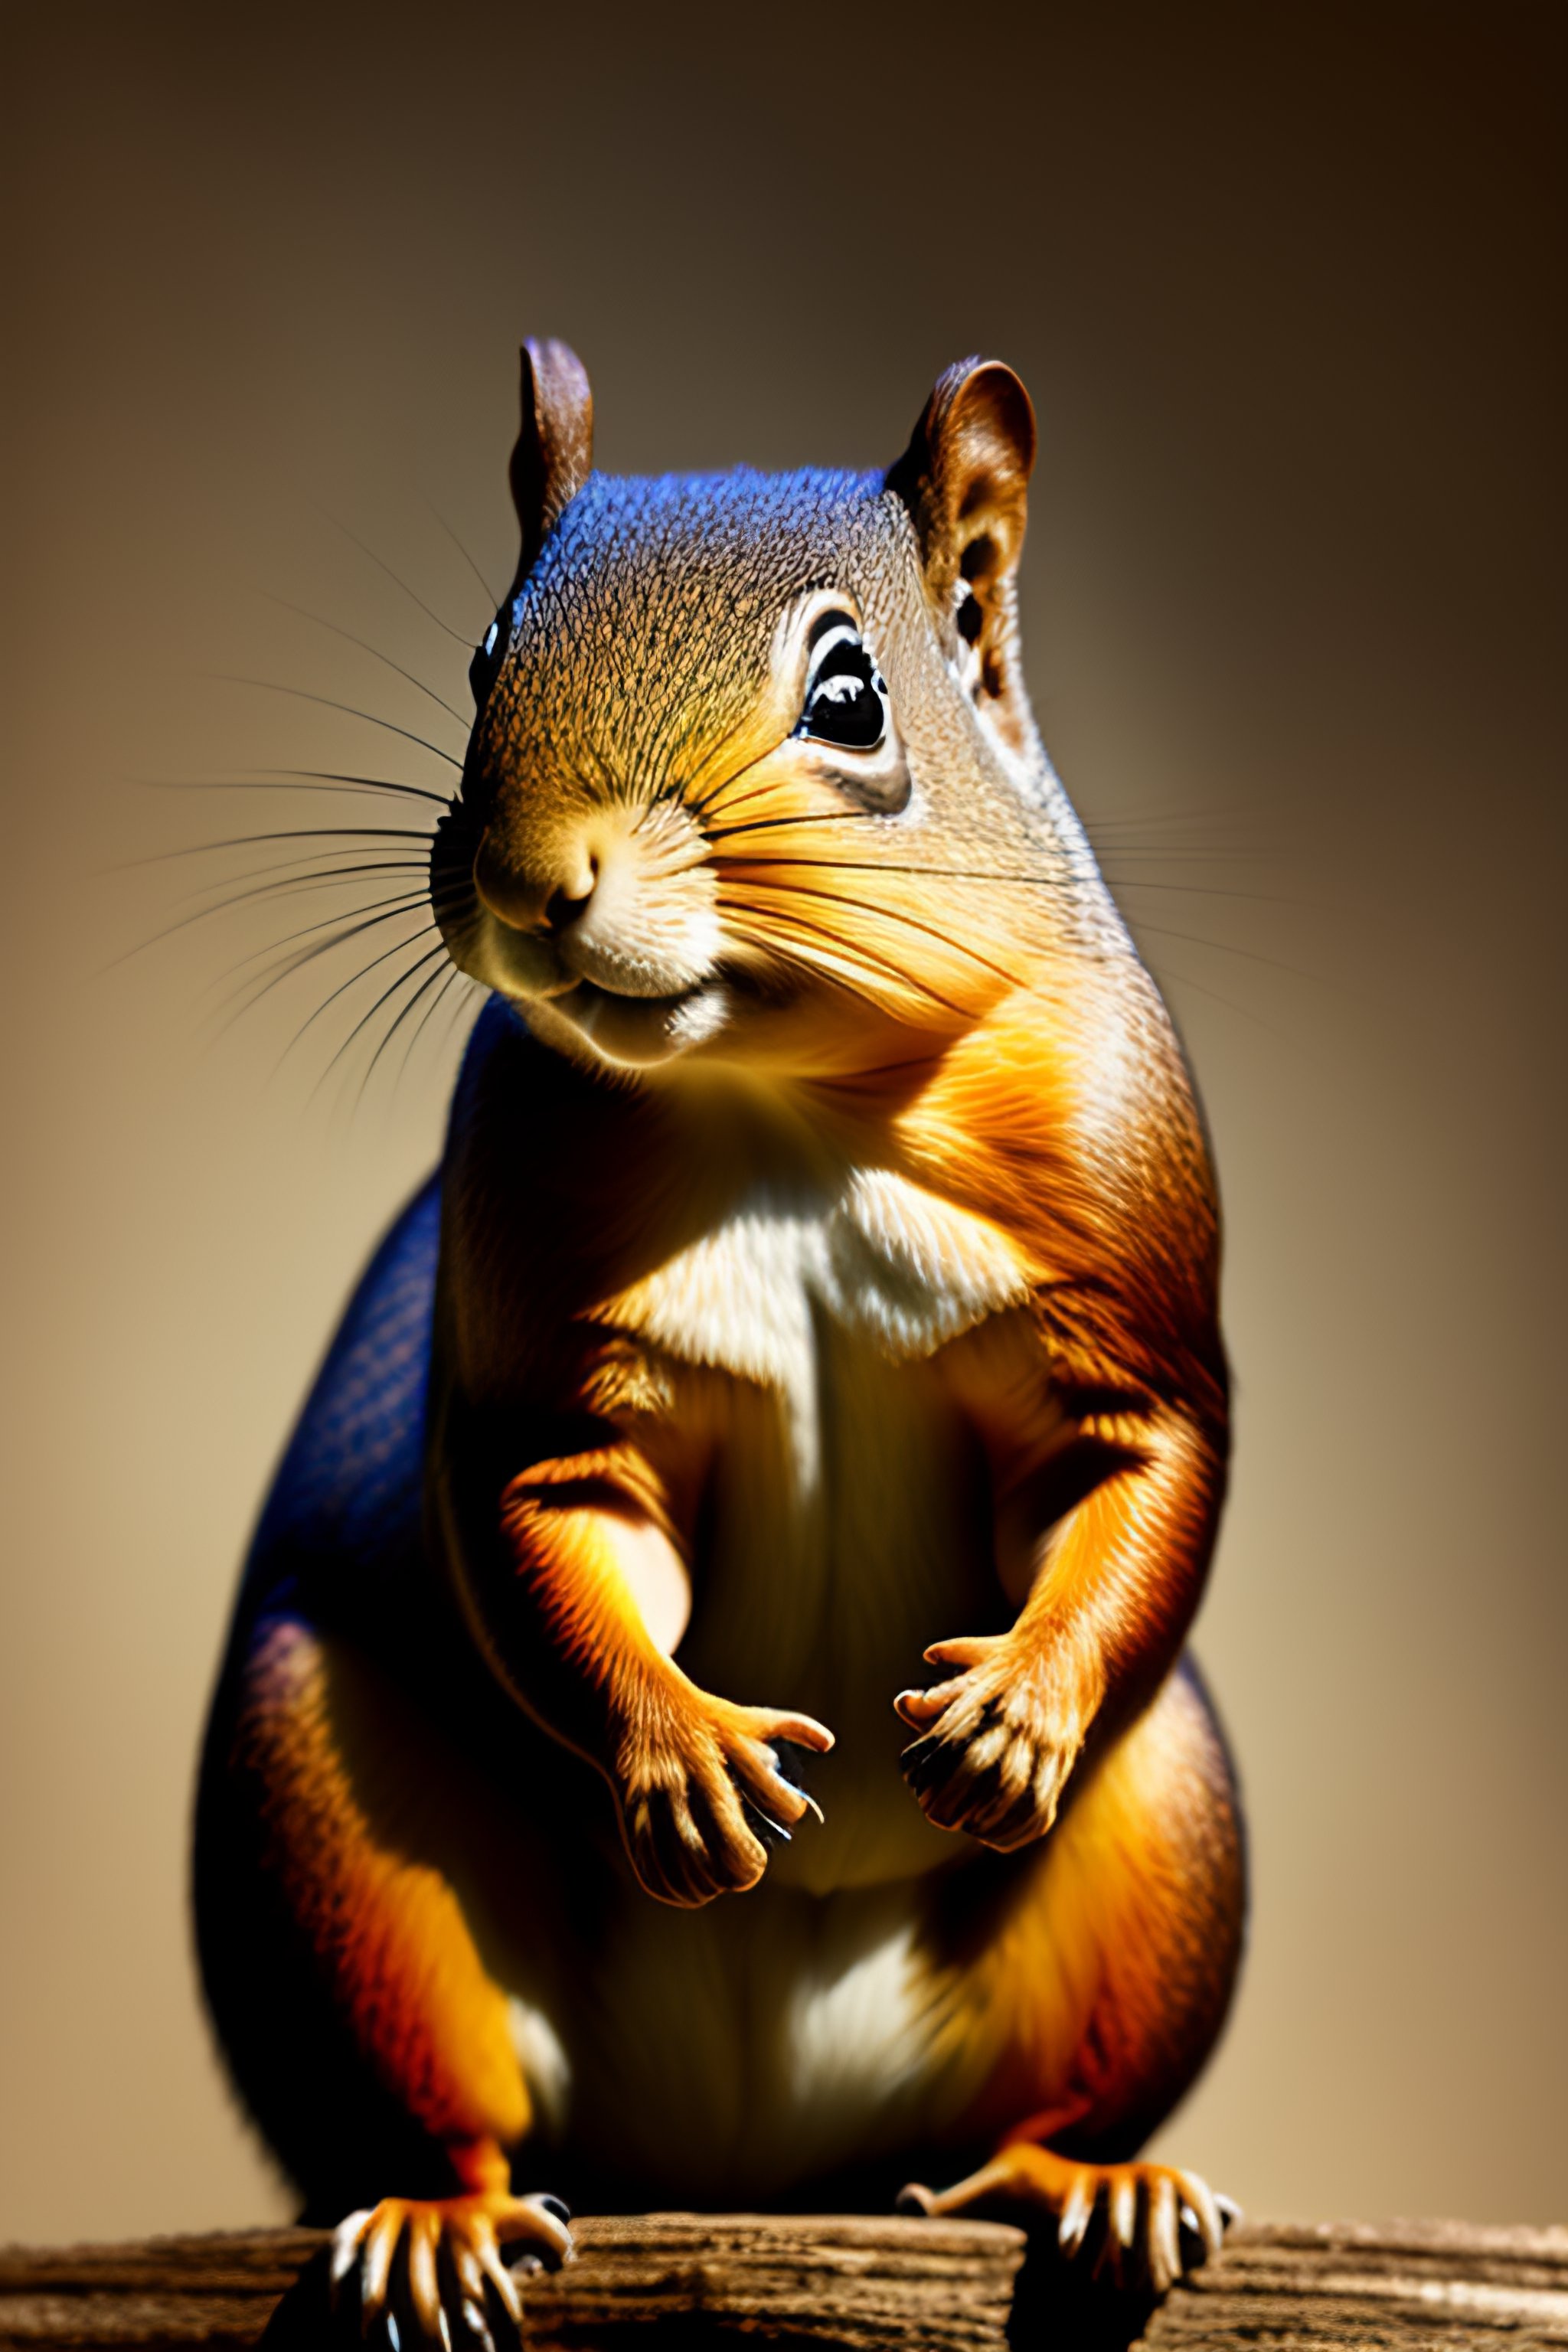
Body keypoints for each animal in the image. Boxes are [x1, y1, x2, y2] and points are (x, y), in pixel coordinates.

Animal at [195, 341, 1245, 2346]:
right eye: (486, 654)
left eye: (848, 693)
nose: (540, 876)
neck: (782, 1097)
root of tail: (745, 2153)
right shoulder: (540, 1350)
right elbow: (550, 1530)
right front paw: (677, 1751)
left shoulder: (1121, 1257)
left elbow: (1141, 1464)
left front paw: (1015, 1707)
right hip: (330, 1824)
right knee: (438, 2099)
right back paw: (436, 2211)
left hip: (1162, 1835)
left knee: (1037, 2105)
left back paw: (1087, 2179)